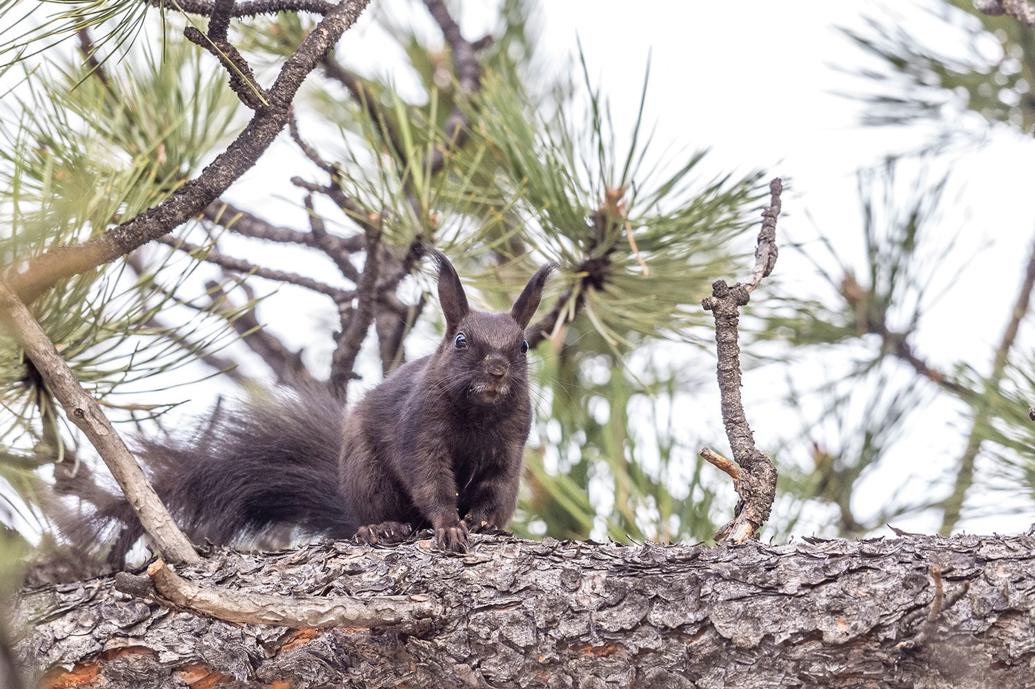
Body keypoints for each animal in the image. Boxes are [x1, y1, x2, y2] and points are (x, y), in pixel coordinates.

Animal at [84, 250, 553, 565]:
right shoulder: (420, 428)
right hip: (365, 473)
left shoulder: (510, 444)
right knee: (379, 512)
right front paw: (449, 525)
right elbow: (429, 479)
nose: (497, 371)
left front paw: (484, 522)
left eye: (523, 346)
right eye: (460, 341)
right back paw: (380, 527)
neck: (478, 412)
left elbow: (497, 486)